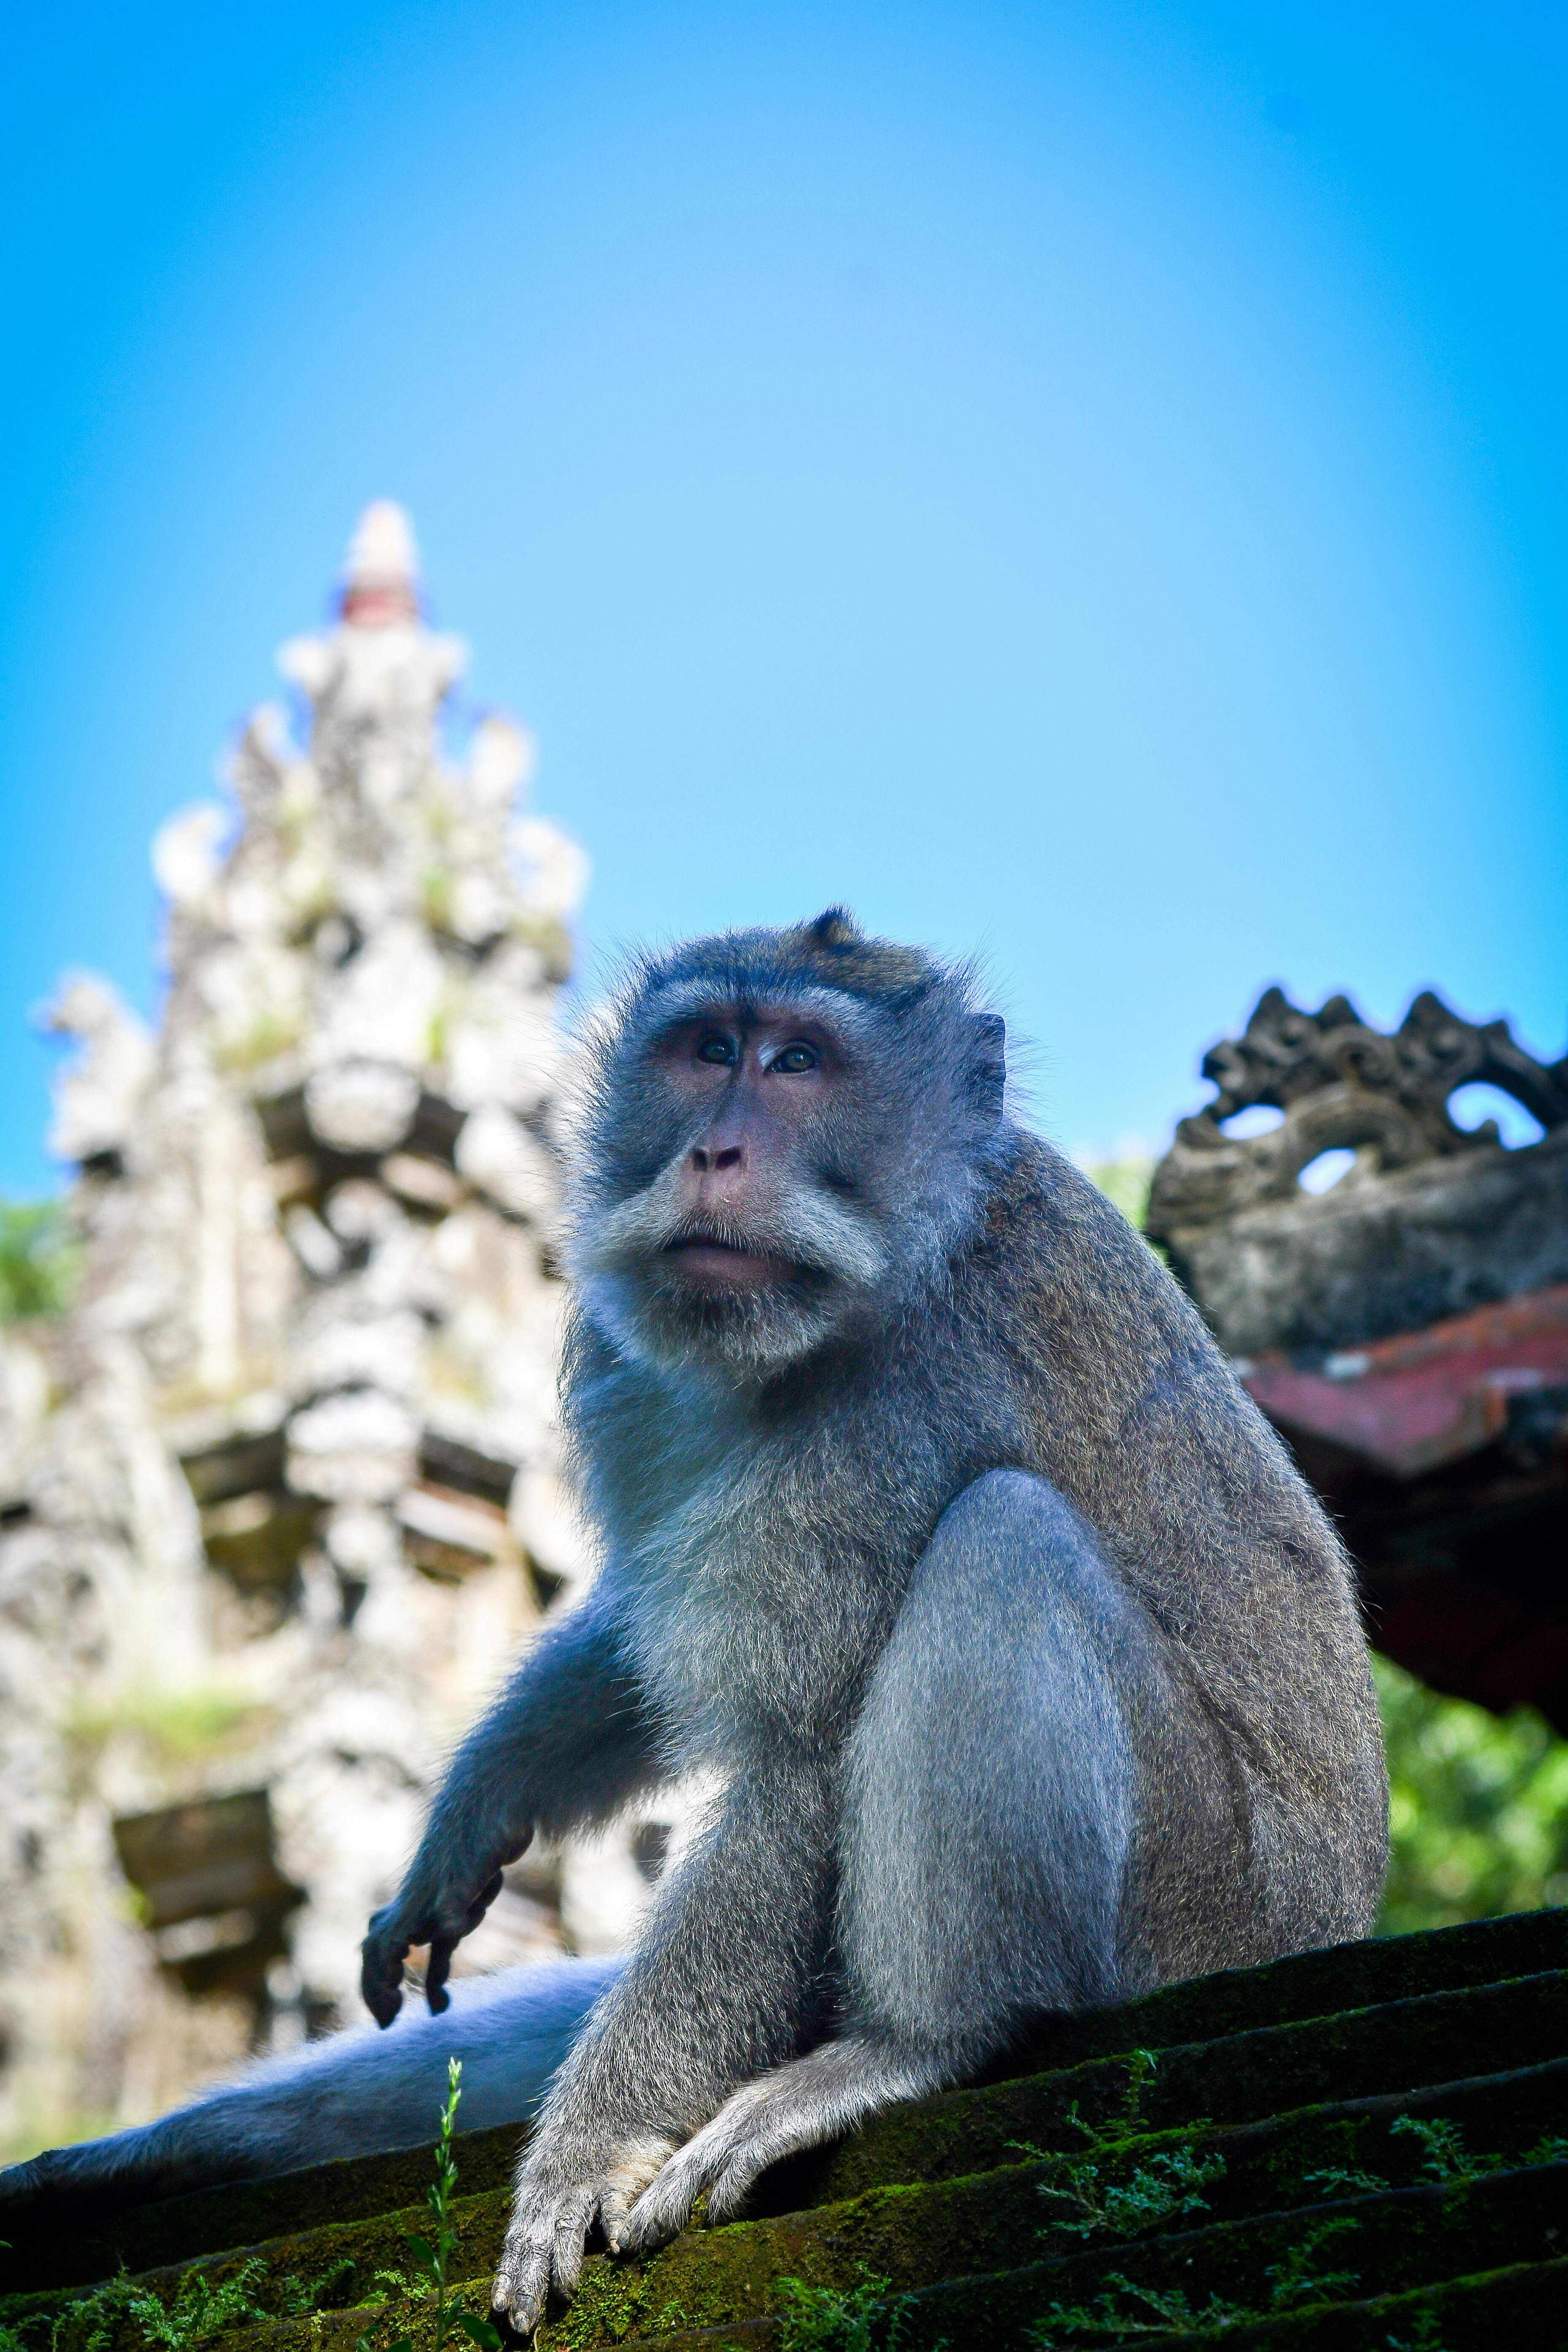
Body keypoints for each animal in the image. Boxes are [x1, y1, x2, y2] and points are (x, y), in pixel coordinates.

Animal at [0, 912, 1388, 2338]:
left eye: (799, 1061)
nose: (715, 1151)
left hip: (1195, 1910)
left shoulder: (898, 1398)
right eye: (710, 1049)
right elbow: (641, 1618)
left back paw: (915, 2044)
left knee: (1003, 1537)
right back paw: (170, 2149)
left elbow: (796, 1759)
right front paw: (477, 1807)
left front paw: (584, 2149)